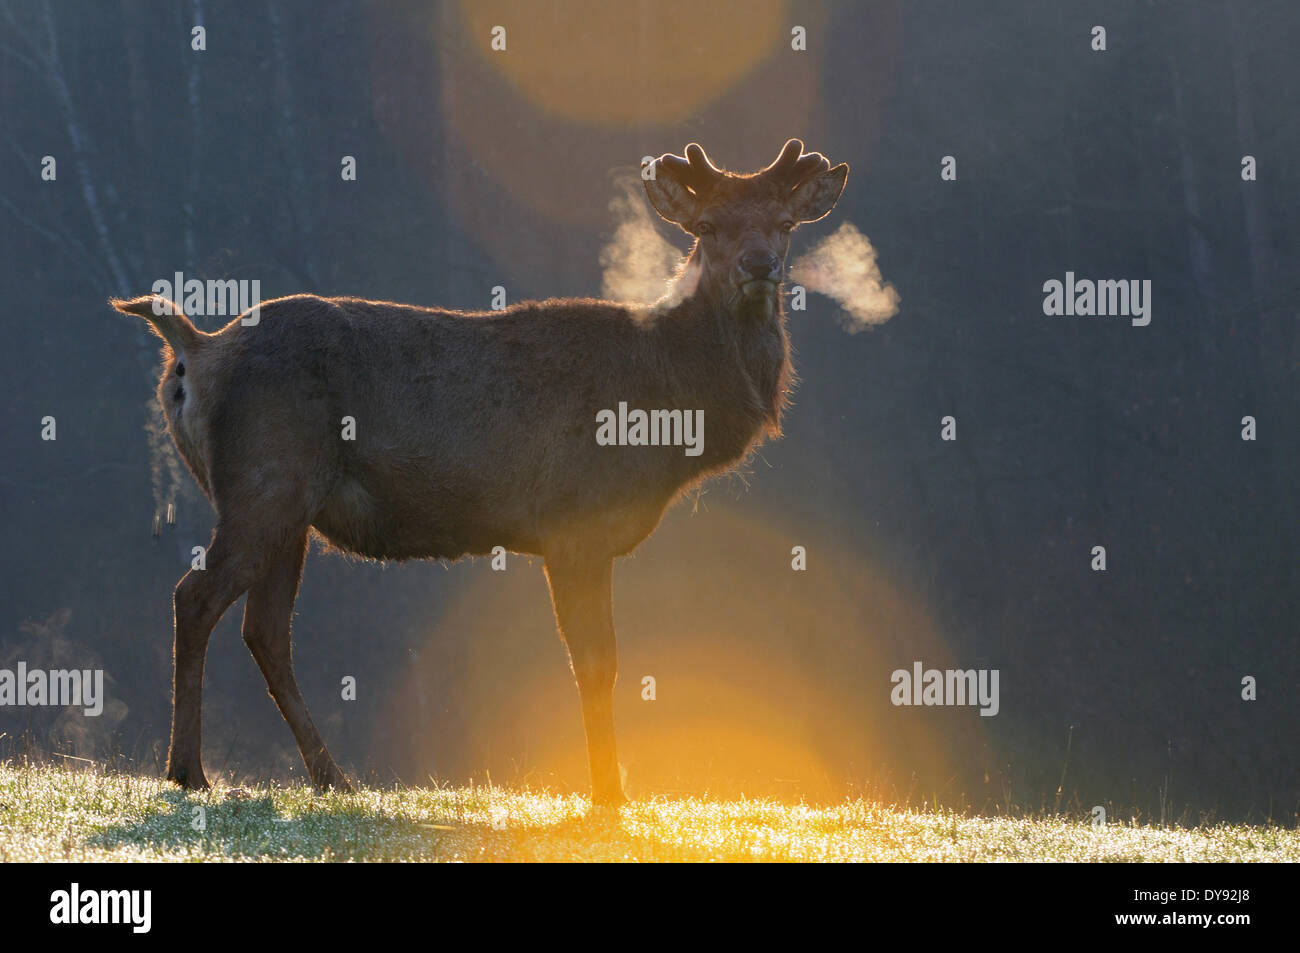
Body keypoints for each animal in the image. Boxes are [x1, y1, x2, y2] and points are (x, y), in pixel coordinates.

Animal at [109, 139, 848, 807]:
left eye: (785, 224)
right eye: (709, 225)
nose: (759, 263)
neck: (667, 409)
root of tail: (194, 350)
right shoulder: (574, 521)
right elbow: (596, 662)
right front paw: (608, 794)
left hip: (289, 511)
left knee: (264, 630)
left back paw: (331, 778)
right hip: (267, 480)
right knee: (195, 598)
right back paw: (188, 771)